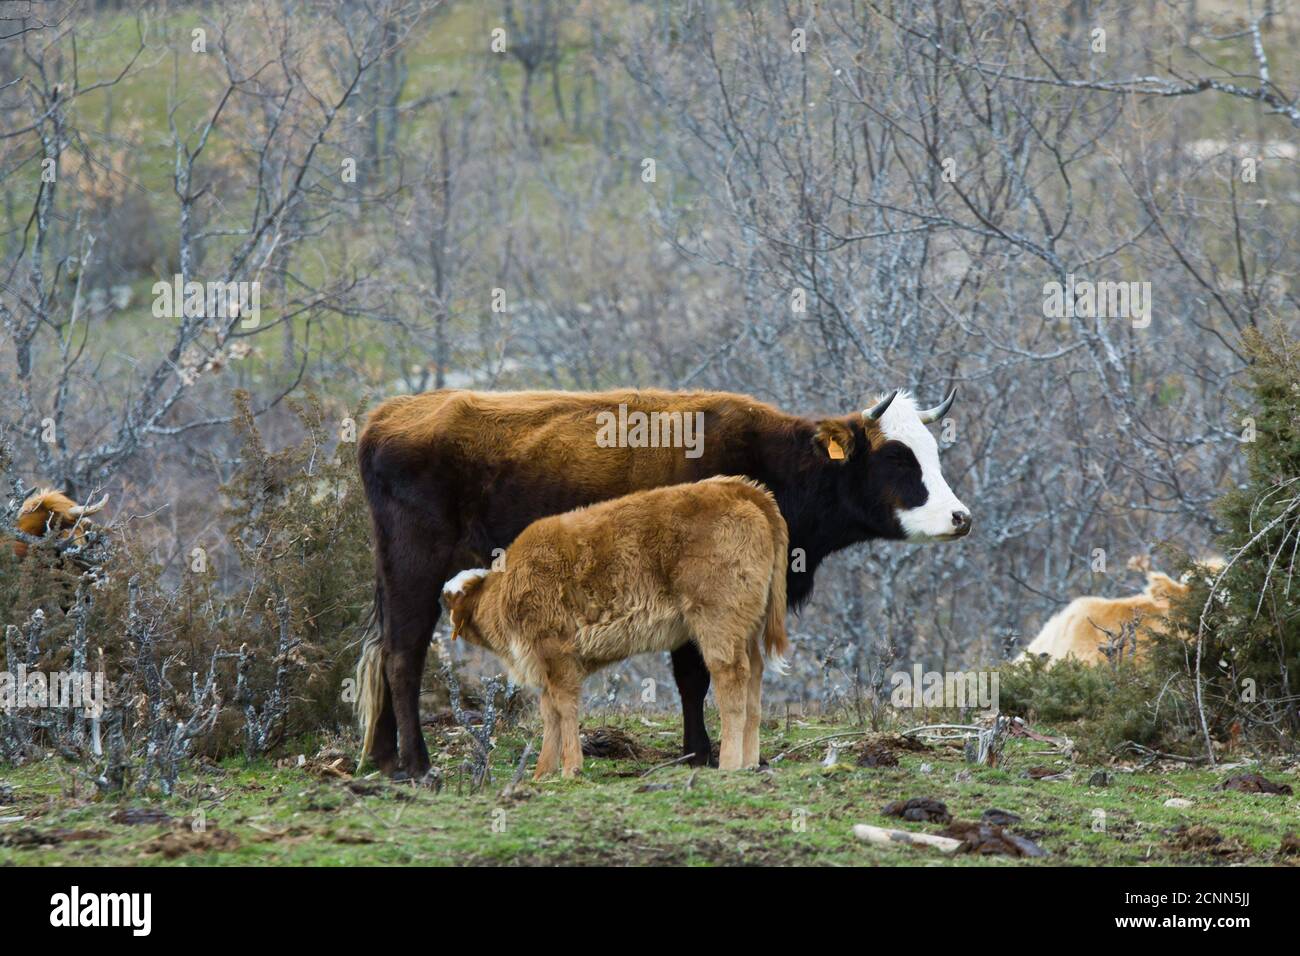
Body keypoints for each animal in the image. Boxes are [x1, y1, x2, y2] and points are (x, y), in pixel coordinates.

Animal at [439, 476, 790, 776]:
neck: (503, 590)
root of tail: (738, 488)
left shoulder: (557, 656)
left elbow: (564, 709)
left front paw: (570, 768)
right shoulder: (545, 666)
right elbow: (549, 713)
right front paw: (542, 772)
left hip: (718, 622)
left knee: (731, 678)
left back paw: (729, 764)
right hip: (746, 626)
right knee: (754, 678)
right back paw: (749, 761)